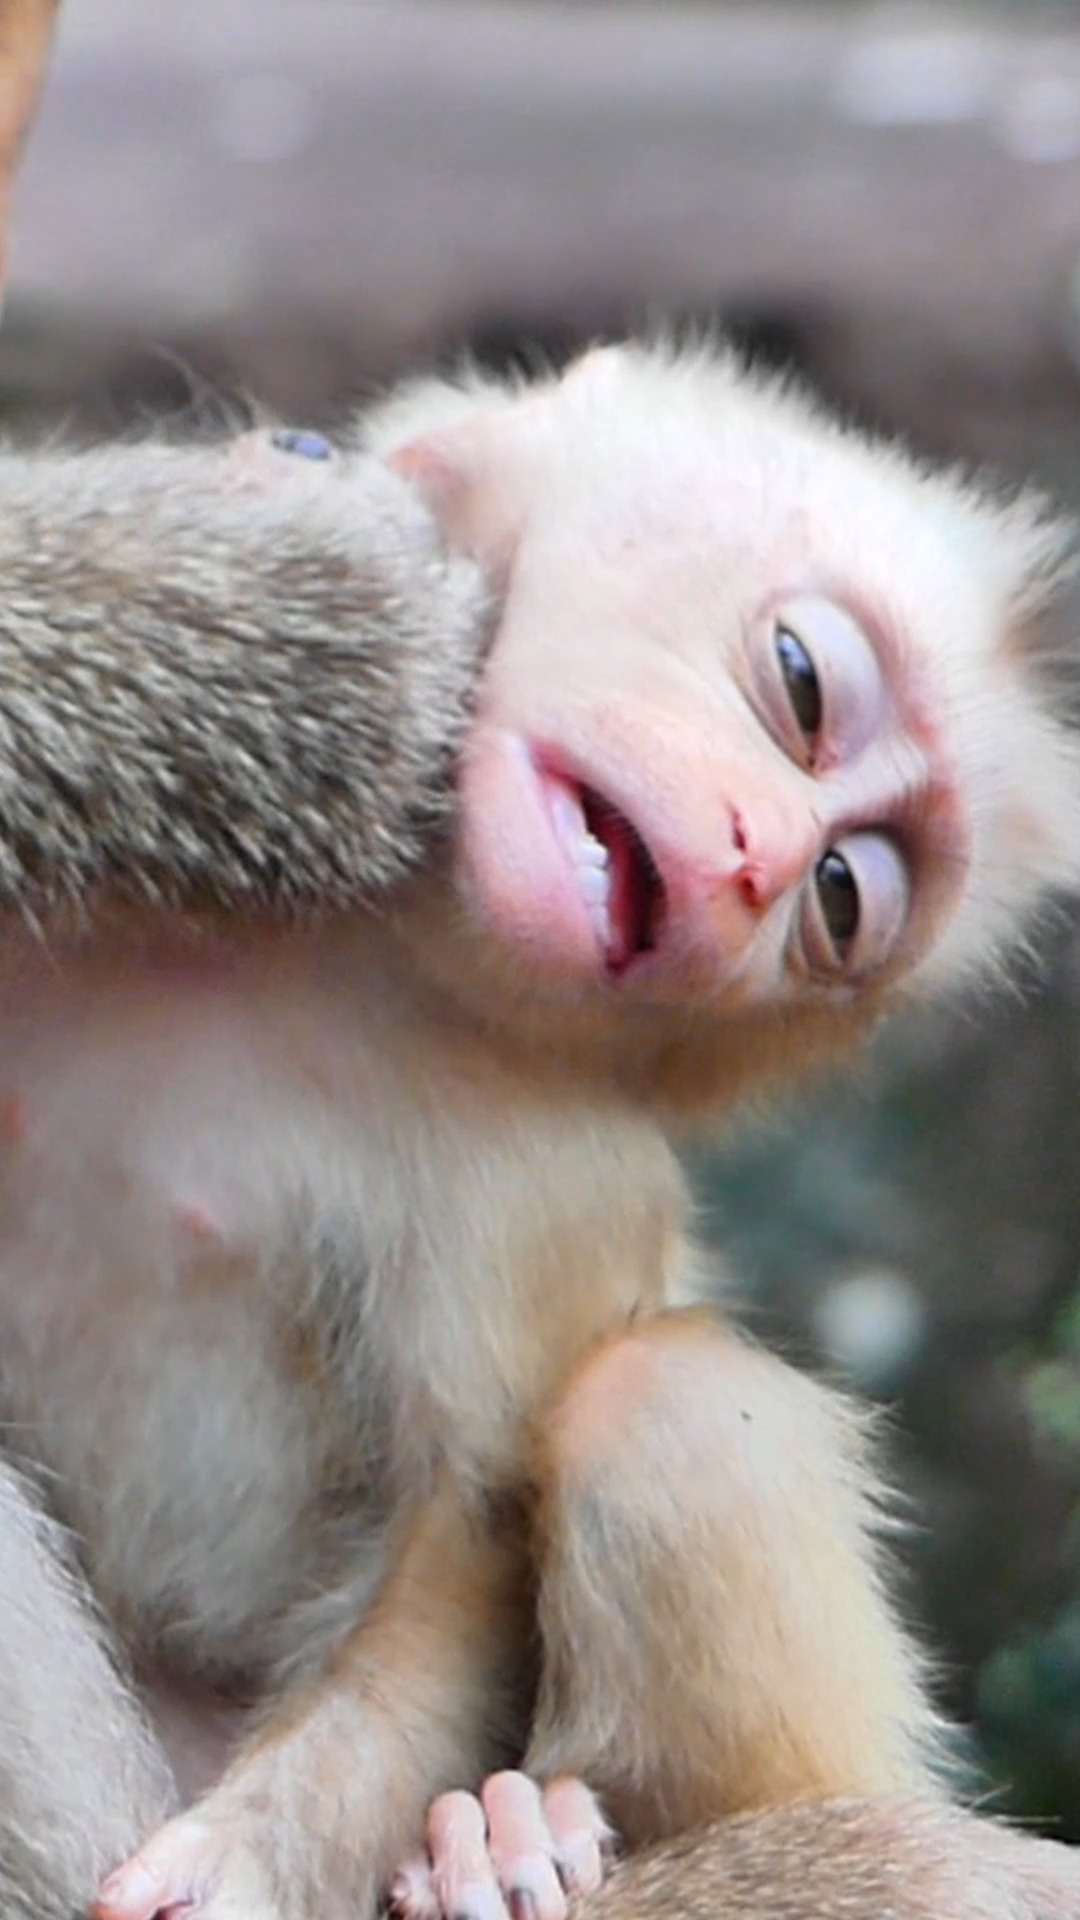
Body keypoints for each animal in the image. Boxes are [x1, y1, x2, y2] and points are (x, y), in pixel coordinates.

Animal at [0, 340, 1077, 1920]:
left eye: (838, 902)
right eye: (802, 682)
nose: (760, 863)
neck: (316, 958)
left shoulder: (557, 1171)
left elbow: (455, 1553)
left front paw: (232, 1874)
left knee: (671, 1414)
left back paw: (513, 1847)